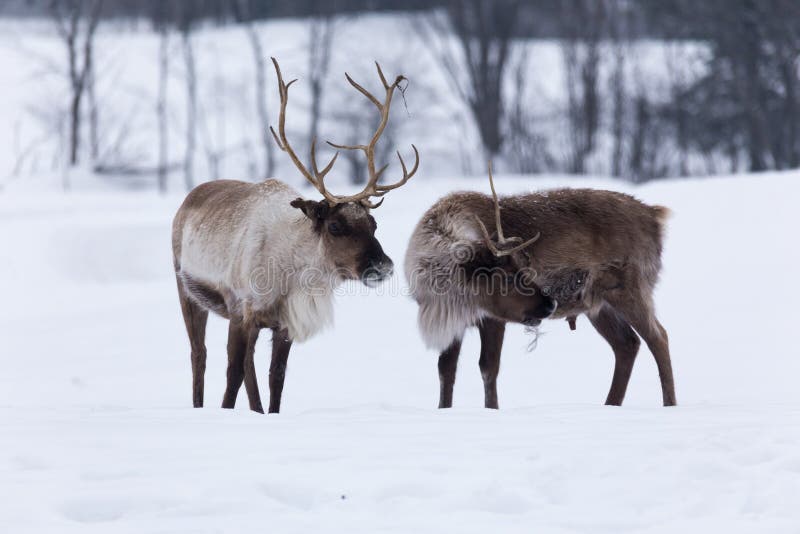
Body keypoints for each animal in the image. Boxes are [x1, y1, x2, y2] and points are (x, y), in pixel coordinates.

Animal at [172, 58, 419, 413]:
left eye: (373, 223)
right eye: (334, 226)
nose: (382, 266)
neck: (292, 276)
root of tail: (191, 195)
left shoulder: (283, 324)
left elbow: (275, 376)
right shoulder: (242, 311)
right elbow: (236, 374)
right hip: (187, 291)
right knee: (199, 355)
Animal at [404, 163, 675, 409]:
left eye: (523, 267)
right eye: (507, 276)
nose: (551, 303)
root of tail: (654, 216)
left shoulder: (492, 317)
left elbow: (488, 367)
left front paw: (492, 409)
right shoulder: (455, 321)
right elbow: (446, 371)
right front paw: (444, 409)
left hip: (629, 287)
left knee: (658, 337)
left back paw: (669, 404)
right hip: (597, 303)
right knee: (627, 344)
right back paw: (610, 405)